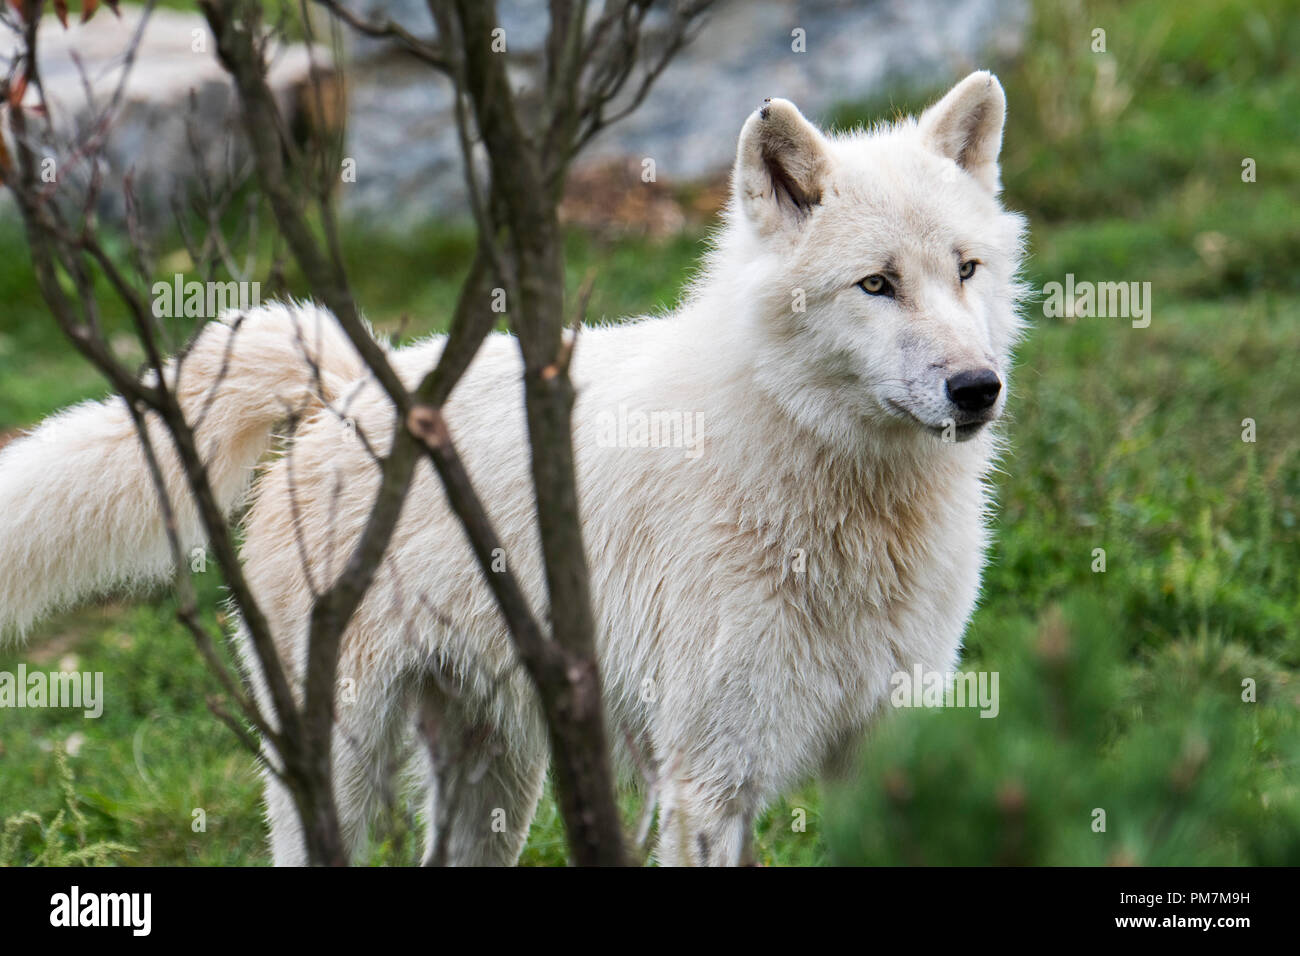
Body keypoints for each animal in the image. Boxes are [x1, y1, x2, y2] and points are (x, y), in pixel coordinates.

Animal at [0, 72, 1026, 865]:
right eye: (876, 284)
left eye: (965, 269)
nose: (978, 389)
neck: (835, 489)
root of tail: (350, 385)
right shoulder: (709, 779)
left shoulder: (883, 751)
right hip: (334, 762)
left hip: (499, 771)